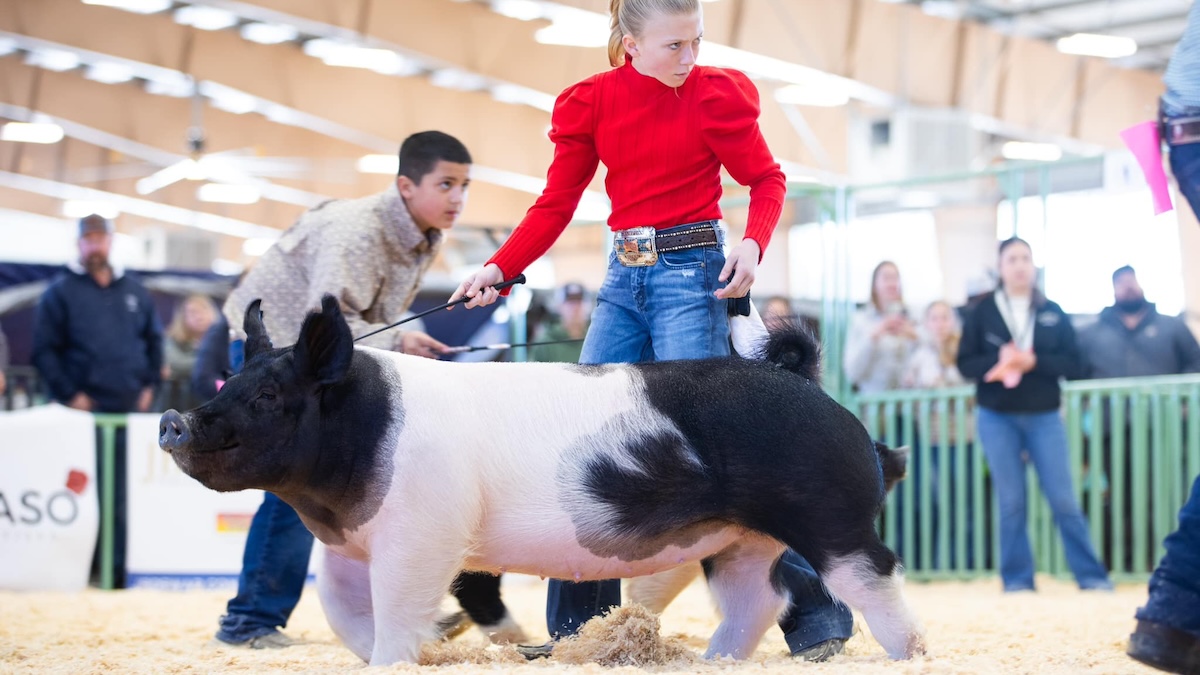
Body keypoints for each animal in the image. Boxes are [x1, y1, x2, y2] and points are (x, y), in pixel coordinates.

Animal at [159, 295, 925, 666]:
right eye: (230, 378)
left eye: (269, 396)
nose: (171, 419)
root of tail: (810, 385)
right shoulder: (354, 539)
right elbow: (341, 607)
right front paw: (411, 646)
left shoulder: (424, 532)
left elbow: (399, 604)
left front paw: (401, 653)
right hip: (737, 537)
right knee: (756, 598)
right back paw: (714, 661)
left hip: (829, 514)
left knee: (877, 573)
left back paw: (911, 655)